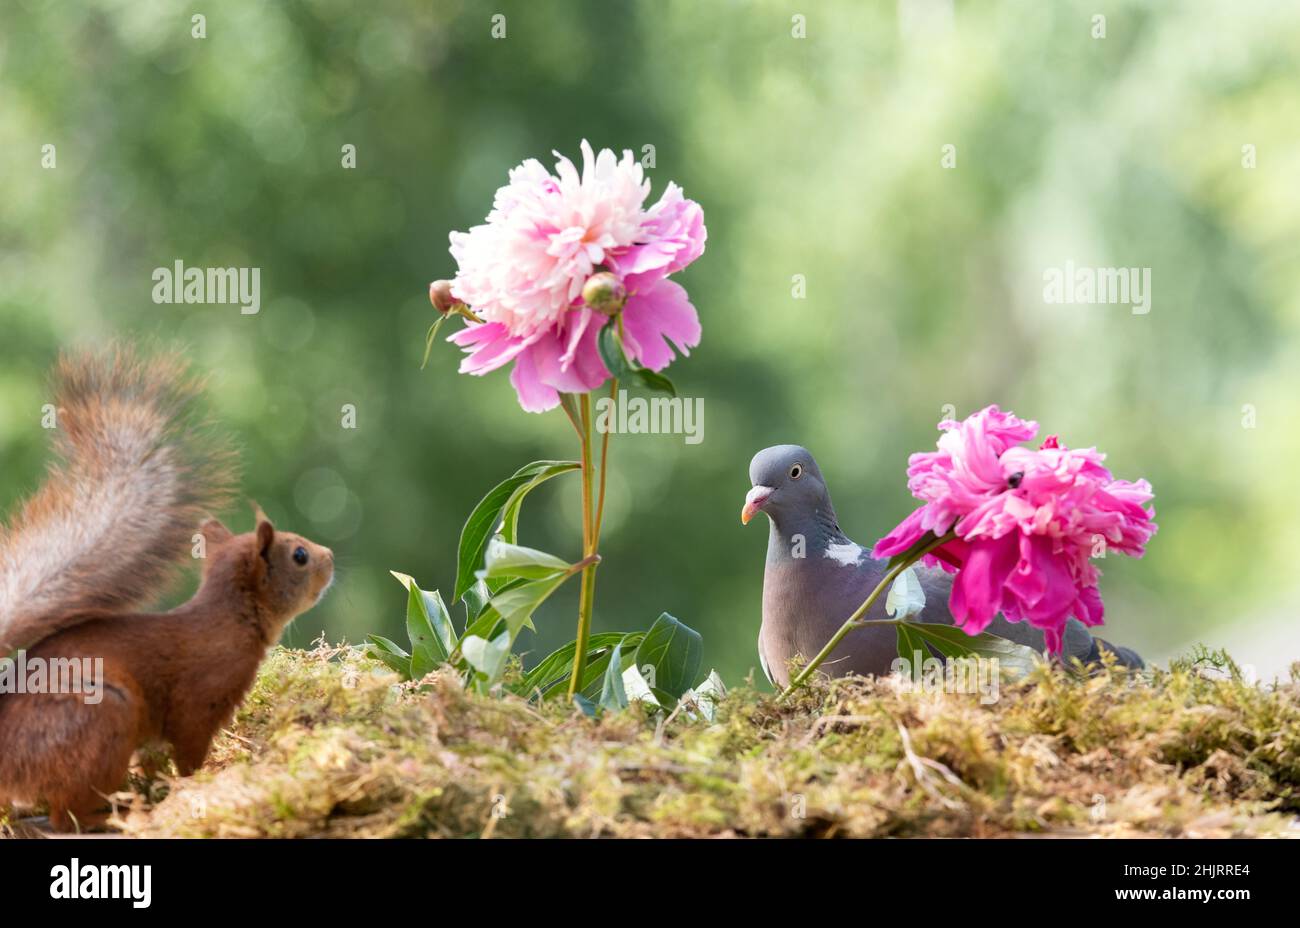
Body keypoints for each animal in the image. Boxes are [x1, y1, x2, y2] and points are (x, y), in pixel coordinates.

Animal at [0, 346, 335, 831]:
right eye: (300, 556)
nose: (330, 557)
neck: (229, 618)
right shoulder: (200, 698)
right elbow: (190, 748)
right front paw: (203, 782)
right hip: (103, 715)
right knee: (67, 817)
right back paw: (110, 815)